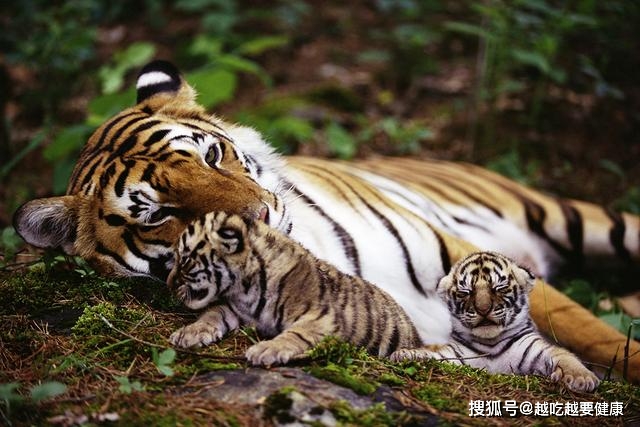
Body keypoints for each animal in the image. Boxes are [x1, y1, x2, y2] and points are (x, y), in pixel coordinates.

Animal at [168, 211, 422, 365]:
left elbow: (295, 334)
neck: (244, 288)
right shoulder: (234, 308)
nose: (169, 284)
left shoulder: (322, 318)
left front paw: (265, 350)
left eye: (184, 260)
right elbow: (212, 314)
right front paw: (189, 333)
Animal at [390, 252, 600, 392]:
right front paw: (407, 354)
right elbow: (435, 354)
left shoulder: (538, 349)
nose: (483, 310)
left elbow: (564, 355)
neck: (490, 344)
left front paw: (580, 378)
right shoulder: (456, 356)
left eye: (499, 287)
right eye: (465, 292)